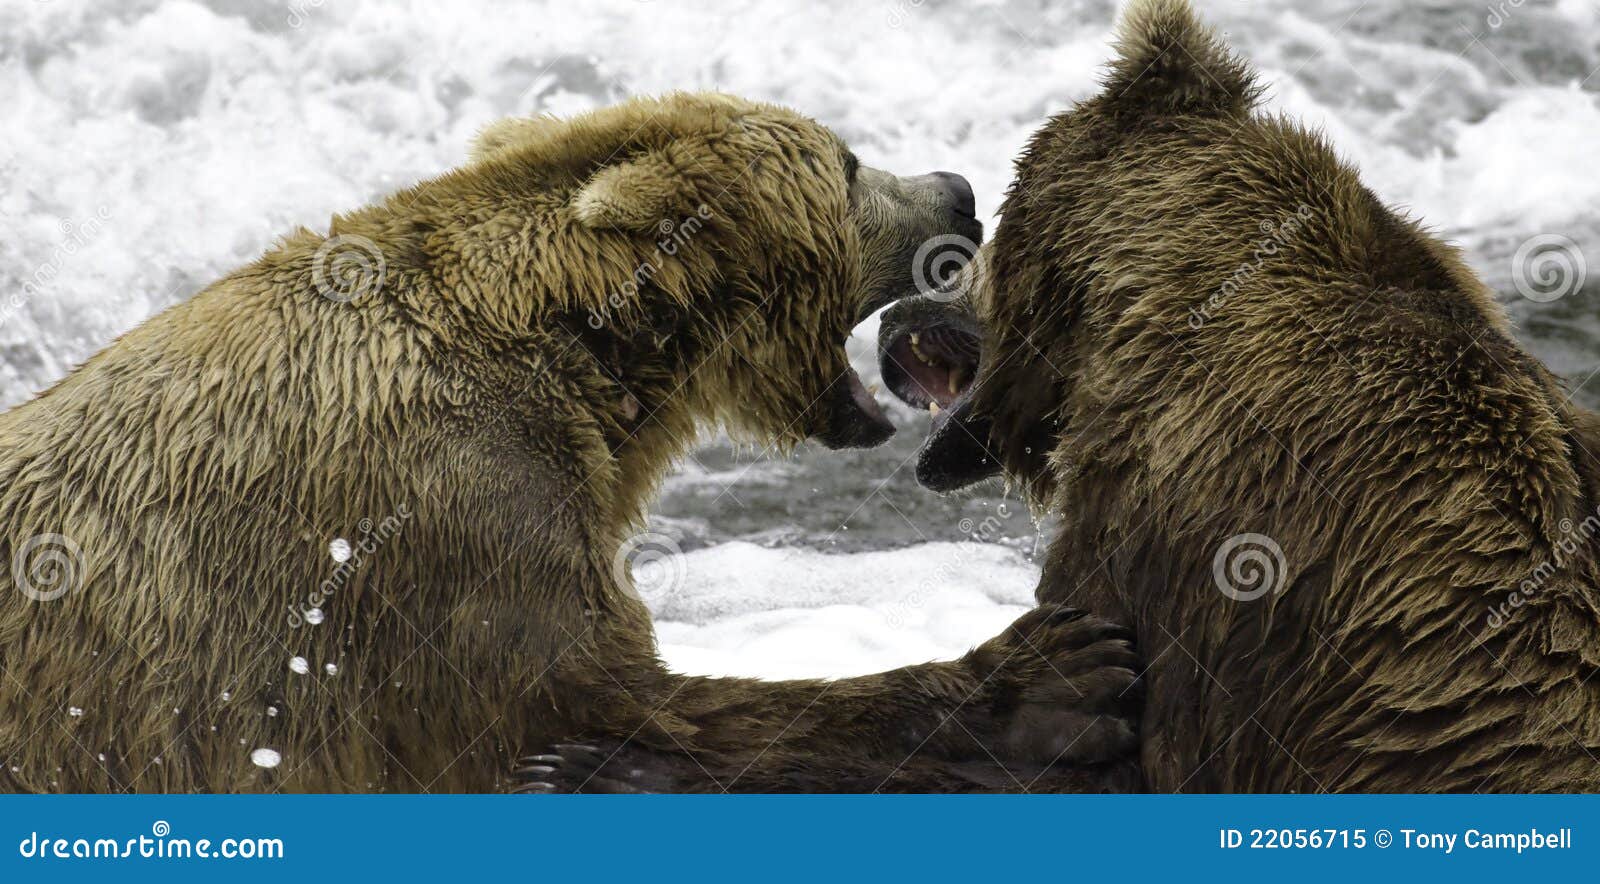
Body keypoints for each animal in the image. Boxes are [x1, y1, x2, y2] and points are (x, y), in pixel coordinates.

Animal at [0, 92, 1139, 793]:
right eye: (849, 161)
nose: (959, 187)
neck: (582, 359)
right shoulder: (441, 528)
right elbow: (611, 695)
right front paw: (1052, 680)